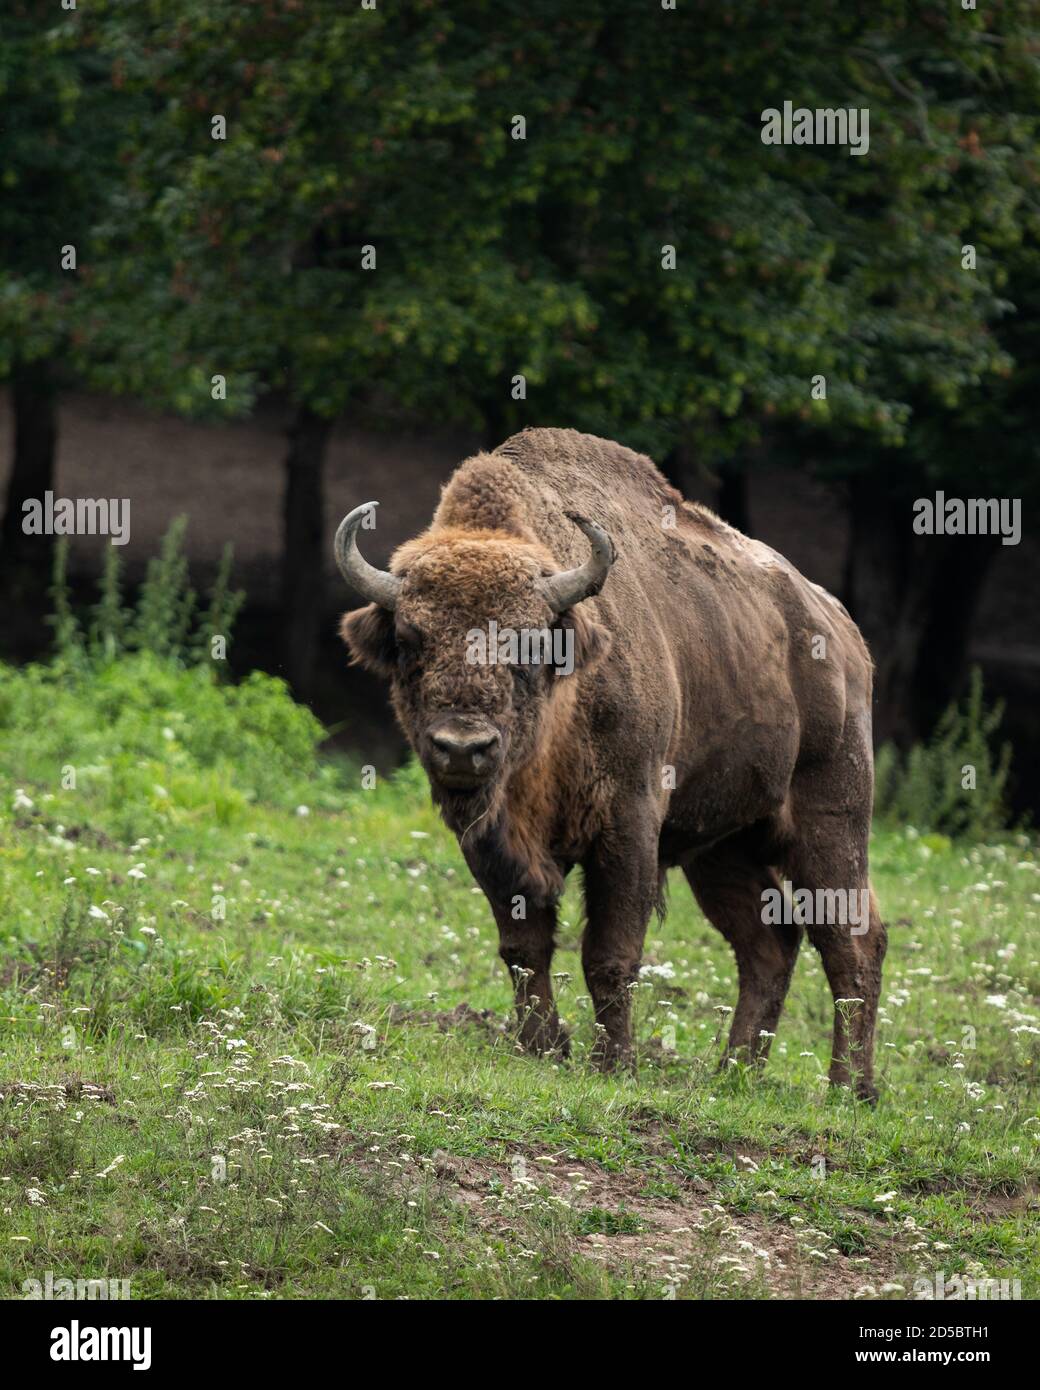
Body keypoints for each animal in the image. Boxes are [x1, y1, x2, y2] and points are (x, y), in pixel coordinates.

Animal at [337, 428, 887, 1099]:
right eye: (409, 639)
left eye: (529, 641)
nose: (463, 746)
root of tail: (841, 631)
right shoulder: (491, 843)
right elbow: (523, 947)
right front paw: (541, 1048)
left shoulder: (628, 825)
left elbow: (609, 952)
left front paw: (614, 1063)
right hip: (720, 847)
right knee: (769, 942)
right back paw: (734, 1072)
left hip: (830, 823)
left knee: (851, 942)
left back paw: (850, 1089)